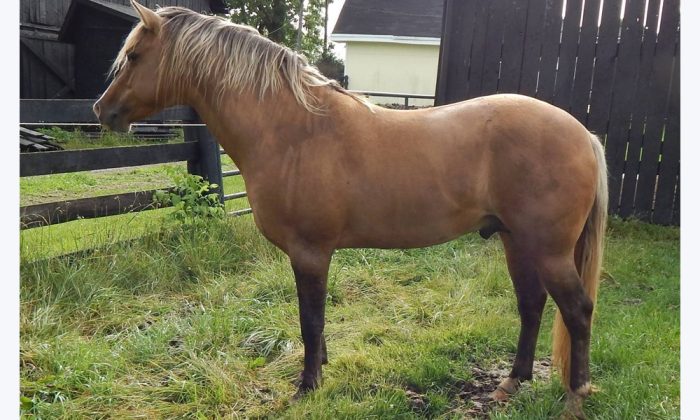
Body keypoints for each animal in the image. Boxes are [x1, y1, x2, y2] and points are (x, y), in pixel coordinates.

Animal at [94, 2, 608, 418]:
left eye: (134, 57)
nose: (103, 111)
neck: (293, 131)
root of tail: (583, 134)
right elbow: (315, 324)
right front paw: (319, 369)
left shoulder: (310, 252)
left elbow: (310, 320)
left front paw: (307, 387)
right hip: (515, 241)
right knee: (531, 305)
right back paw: (512, 383)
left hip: (548, 250)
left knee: (578, 309)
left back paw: (575, 396)